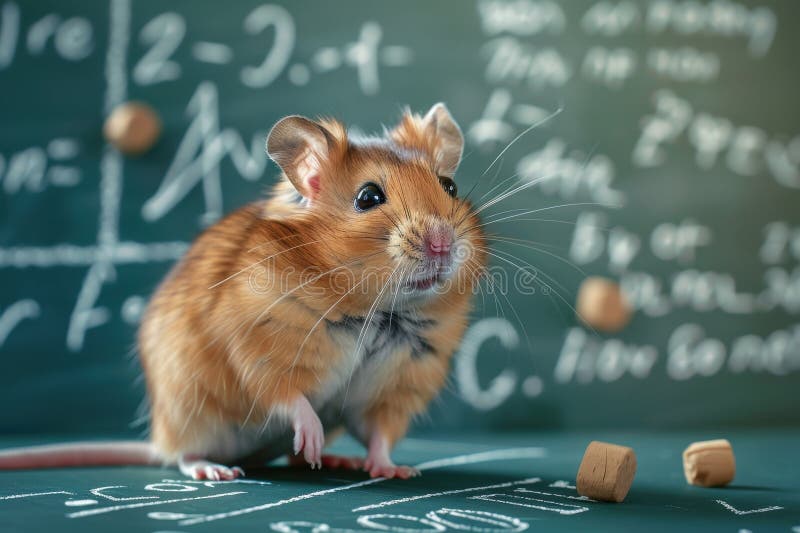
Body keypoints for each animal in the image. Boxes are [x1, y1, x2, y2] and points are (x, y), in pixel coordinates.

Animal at [0, 103, 487, 480]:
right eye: (368, 197)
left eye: (449, 186)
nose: (443, 244)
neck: (380, 309)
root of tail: (158, 439)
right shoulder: (259, 345)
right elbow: (290, 398)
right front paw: (312, 437)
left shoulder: (398, 387)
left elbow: (381, 435)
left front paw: (394, 470)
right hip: (192, 413)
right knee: (183, 455)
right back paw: (217, 469)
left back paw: (334, 460)